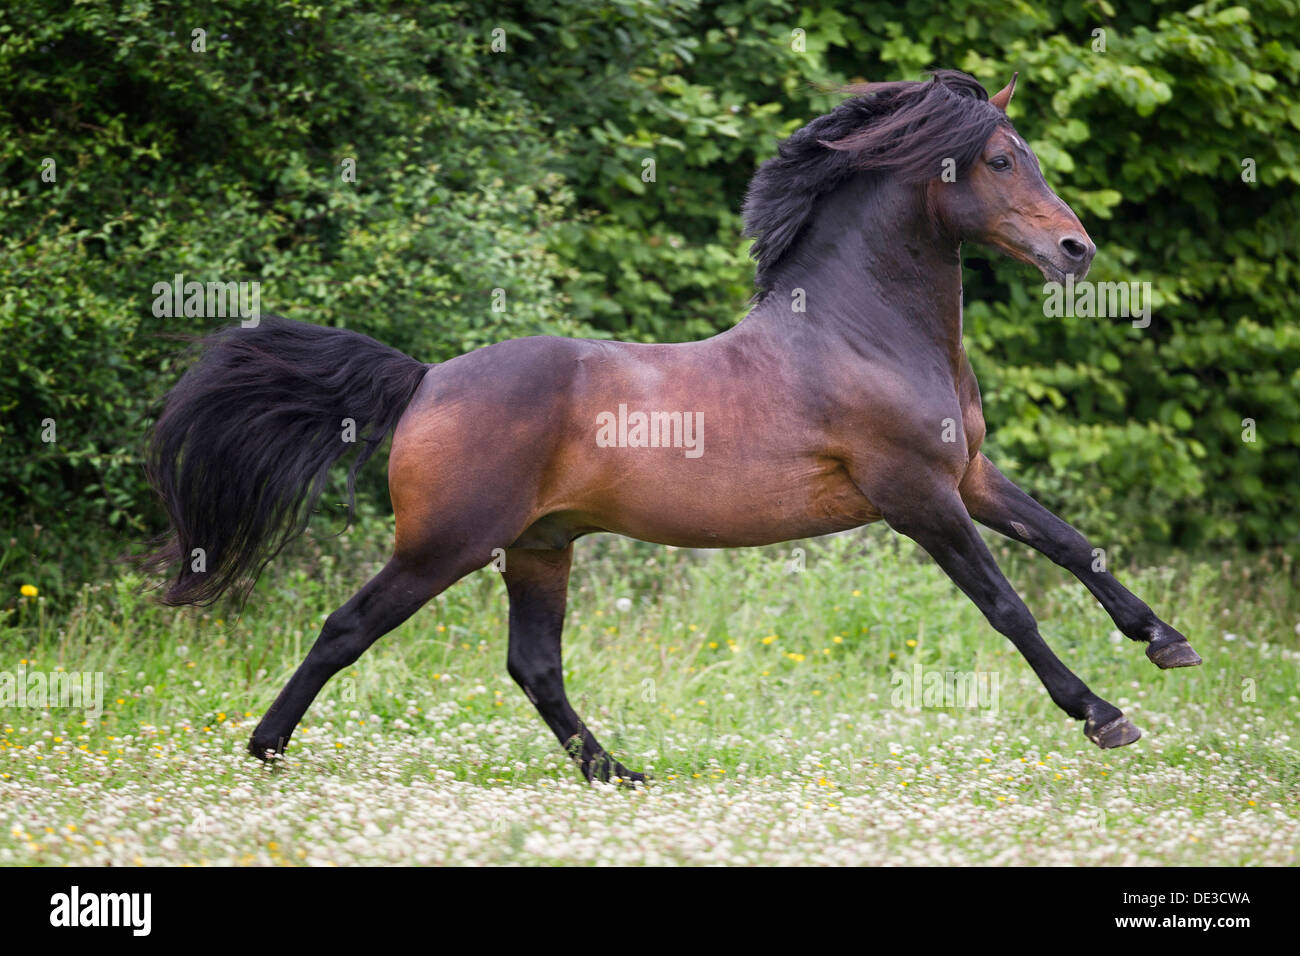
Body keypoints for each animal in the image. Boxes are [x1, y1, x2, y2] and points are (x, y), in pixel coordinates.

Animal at [146, 70, 1201, 784]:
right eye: (996, 158)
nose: (1075, 249)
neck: (860, 334)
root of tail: (427, 380)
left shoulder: (970, 475)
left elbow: (1074, 545)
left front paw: (1167, 643)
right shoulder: (916, 495)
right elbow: (1009, 605)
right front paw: (1104, 713)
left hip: (540, 546)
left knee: (533, 664)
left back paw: (619, 774)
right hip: (448, 543)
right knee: (347, 628)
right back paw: (266, 749)